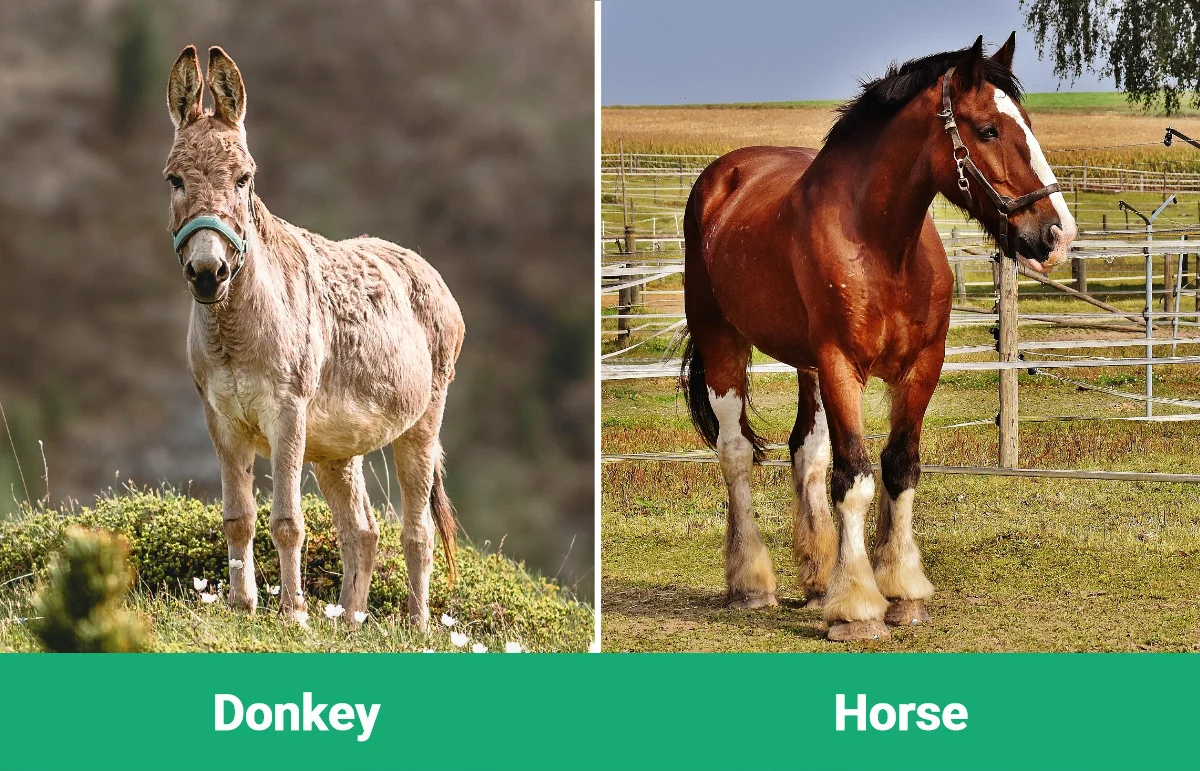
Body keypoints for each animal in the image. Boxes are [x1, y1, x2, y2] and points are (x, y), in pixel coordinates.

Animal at [163, 46, 464, 630]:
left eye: (244, 178)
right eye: (173, 180)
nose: (208, 273)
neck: (234, 331)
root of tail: (425, 267)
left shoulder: (287, 411)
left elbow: (286, 521)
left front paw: (292, 614)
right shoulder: (221, 419)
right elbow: (238, 518)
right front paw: (242, 607)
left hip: (420, 425)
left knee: (416, 534)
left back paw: (416, 626)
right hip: (336, 447)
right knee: (363, 531)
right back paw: (349, 622)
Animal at [680, 34, 1077, 641]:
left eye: (1028, 123)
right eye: (988, 129)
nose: (1057, 235)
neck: (882, 246)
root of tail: (720, 177)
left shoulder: (920, 366)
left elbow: (898, 468)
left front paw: (902, 592)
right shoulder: (841, 364)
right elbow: (856, 477)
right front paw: (858, 608)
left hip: (807, 368)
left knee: (806, 452)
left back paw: (818, 577)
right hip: (724, 342)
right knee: (737, 453)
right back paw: (752, 583)